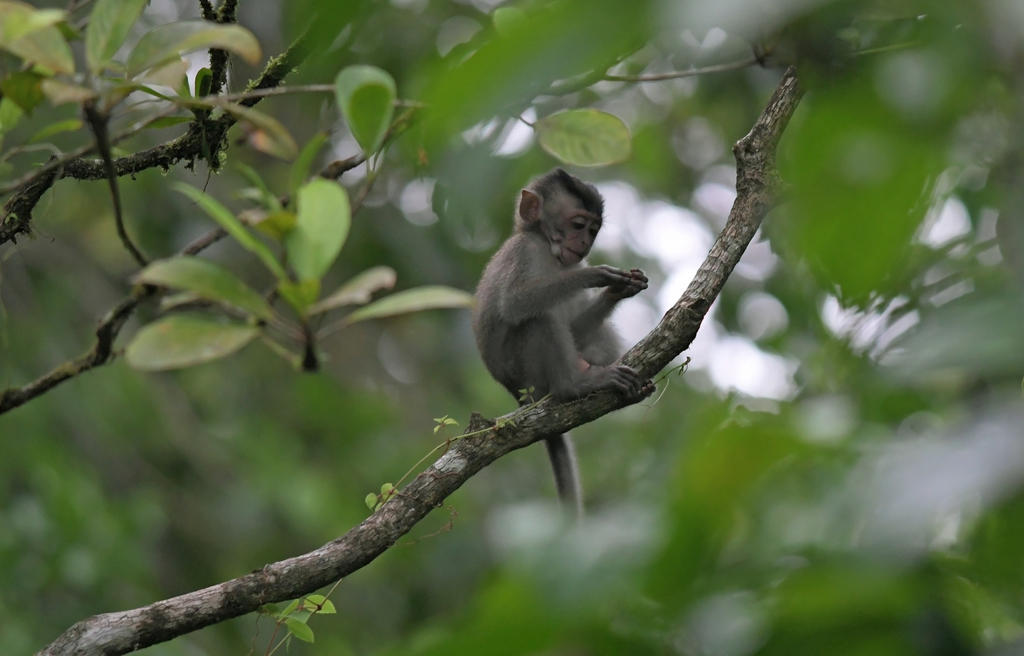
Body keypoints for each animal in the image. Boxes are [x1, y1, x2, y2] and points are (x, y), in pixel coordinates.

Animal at [472, 168, 654, 517]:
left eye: (594, 231)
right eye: (578, 225)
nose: (584, 243)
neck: (550, 253)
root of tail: (517, 395)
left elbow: (577, 330)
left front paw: (618, 290)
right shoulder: (523, 253)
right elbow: (515, 304)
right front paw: (596, 275)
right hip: (530, 377)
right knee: (538, 319)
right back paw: (575, 385)